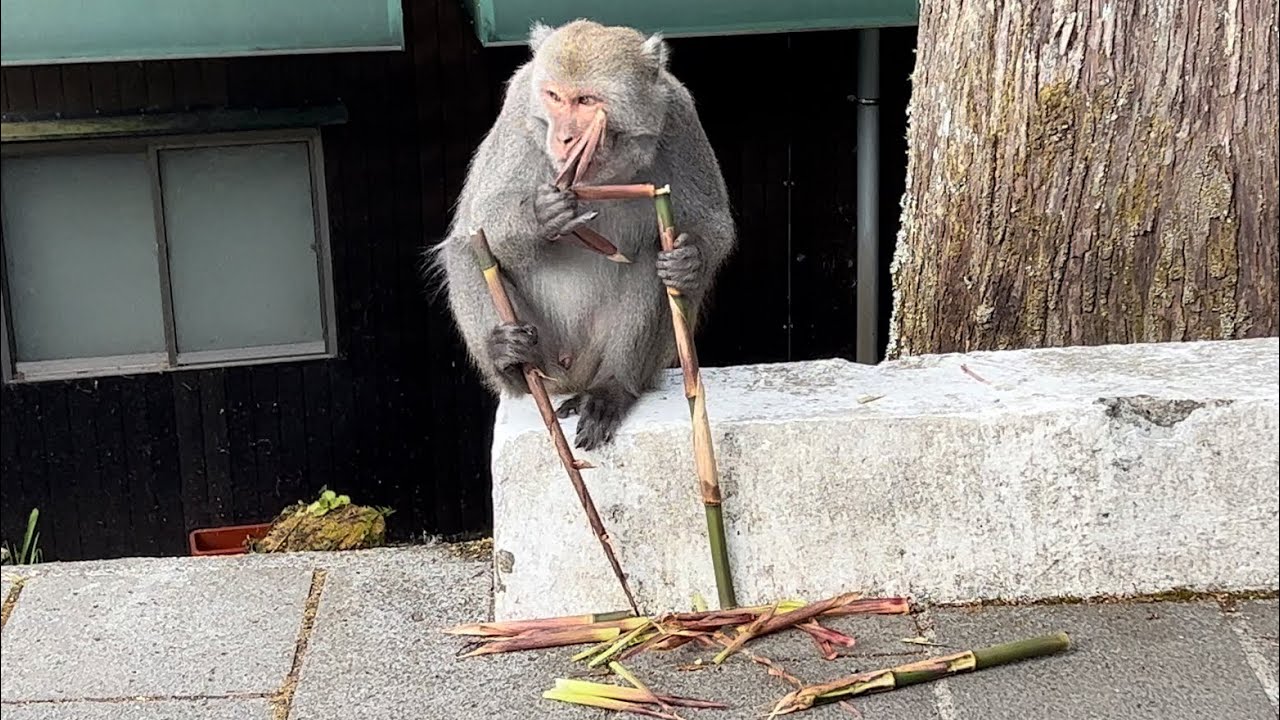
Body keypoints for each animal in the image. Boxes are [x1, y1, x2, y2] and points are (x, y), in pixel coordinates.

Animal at [427, 19, 735, 451]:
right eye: (554, 96)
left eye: (586, 101)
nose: (565, 139)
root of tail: (572, 374)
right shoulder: (519, 111)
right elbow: (479, 219)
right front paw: (541, 215)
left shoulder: (679, 117)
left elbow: (712, 225)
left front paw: (687, 263)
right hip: (544, 350)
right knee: (466, 255)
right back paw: (508, 361)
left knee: (649, 258)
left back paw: (612, 386)